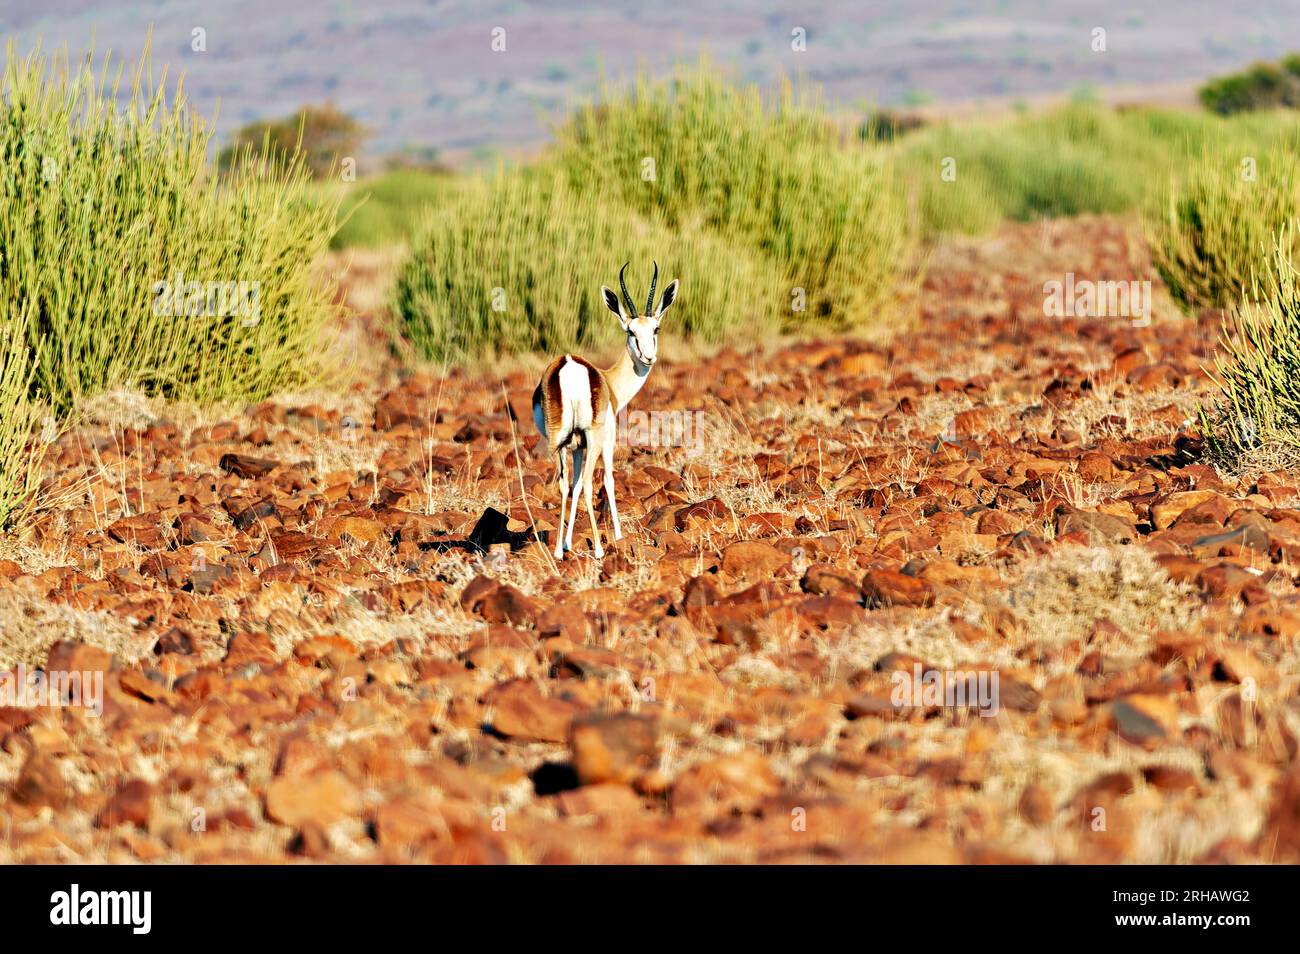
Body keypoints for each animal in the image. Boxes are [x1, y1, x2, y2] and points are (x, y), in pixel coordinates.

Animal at [532, 262, 679, 560]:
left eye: (655, 329)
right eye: (631, 332)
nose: (648, 357)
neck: (609, 382)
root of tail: (569, 366)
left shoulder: (576, 446)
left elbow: (574, 486)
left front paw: (567, 542)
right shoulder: (607, 439)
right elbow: (609, 481)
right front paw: (619, 536)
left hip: (558, 440)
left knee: (565, 484)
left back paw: (558, 551)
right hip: (594, 438)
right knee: (591, 482)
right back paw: (600, 549)